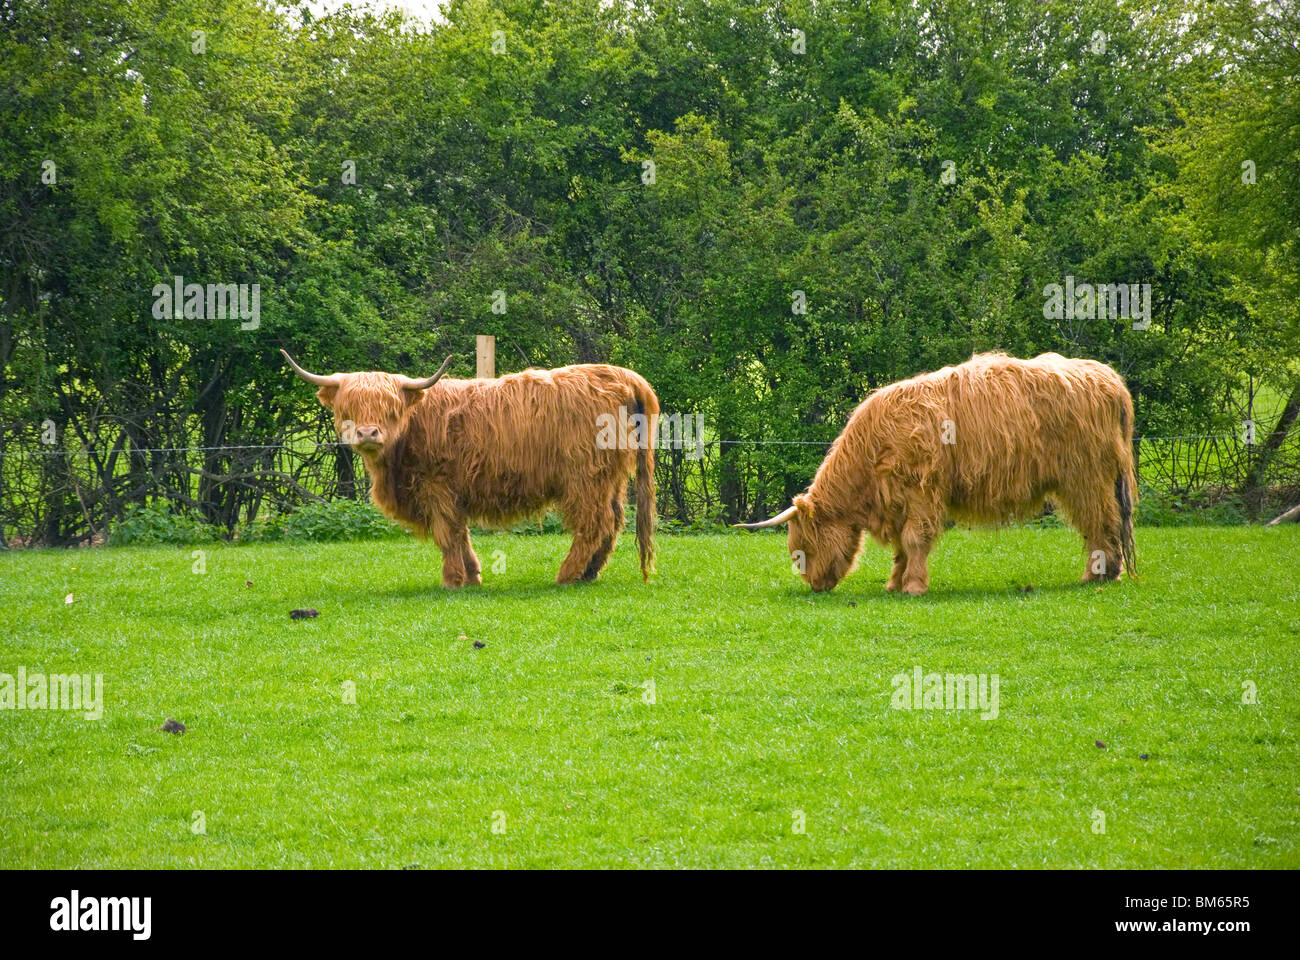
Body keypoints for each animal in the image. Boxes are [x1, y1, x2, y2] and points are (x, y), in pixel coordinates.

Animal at [282, 350, 657, 587]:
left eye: (391, 408)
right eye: (348, 407)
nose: (367, 433)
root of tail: (621, 374)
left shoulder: (436, 486)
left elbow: (447, 534)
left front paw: (452, 580)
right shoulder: (452, 492)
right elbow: (460, 534)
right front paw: (473, 575)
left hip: (585, 476)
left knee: (595, 522)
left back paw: (567, 575)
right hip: (609, 478)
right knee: (614, 520)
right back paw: (589, 573)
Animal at [735, 352, 1138, 595]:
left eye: (801, 548)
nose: (816, 585)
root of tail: (1106, 376)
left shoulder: (921, 493)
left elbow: (915, 540)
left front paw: (913, 586)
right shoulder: (899, 500)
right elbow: (901, 547)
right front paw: (894, 584)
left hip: (1086, 479)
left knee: (1100, 522)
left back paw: (1097, 574)